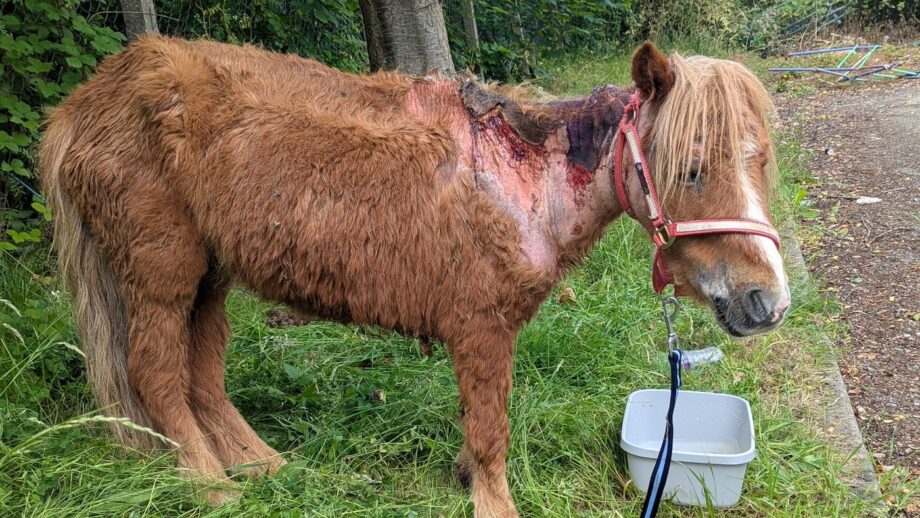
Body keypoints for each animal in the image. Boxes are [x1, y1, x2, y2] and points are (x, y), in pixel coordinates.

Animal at [40, 36, 789, 516]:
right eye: (690, 169)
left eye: (759, 162)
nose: (767, 302)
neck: (522, 178)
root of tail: (84, 105)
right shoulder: (483, 330)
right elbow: (490, 431)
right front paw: (491, 501)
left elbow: (477, 429)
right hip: (162, 273)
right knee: (157, 374)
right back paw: (210, 486)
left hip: (210, 277)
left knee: (202, 376)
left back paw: (262, 467)